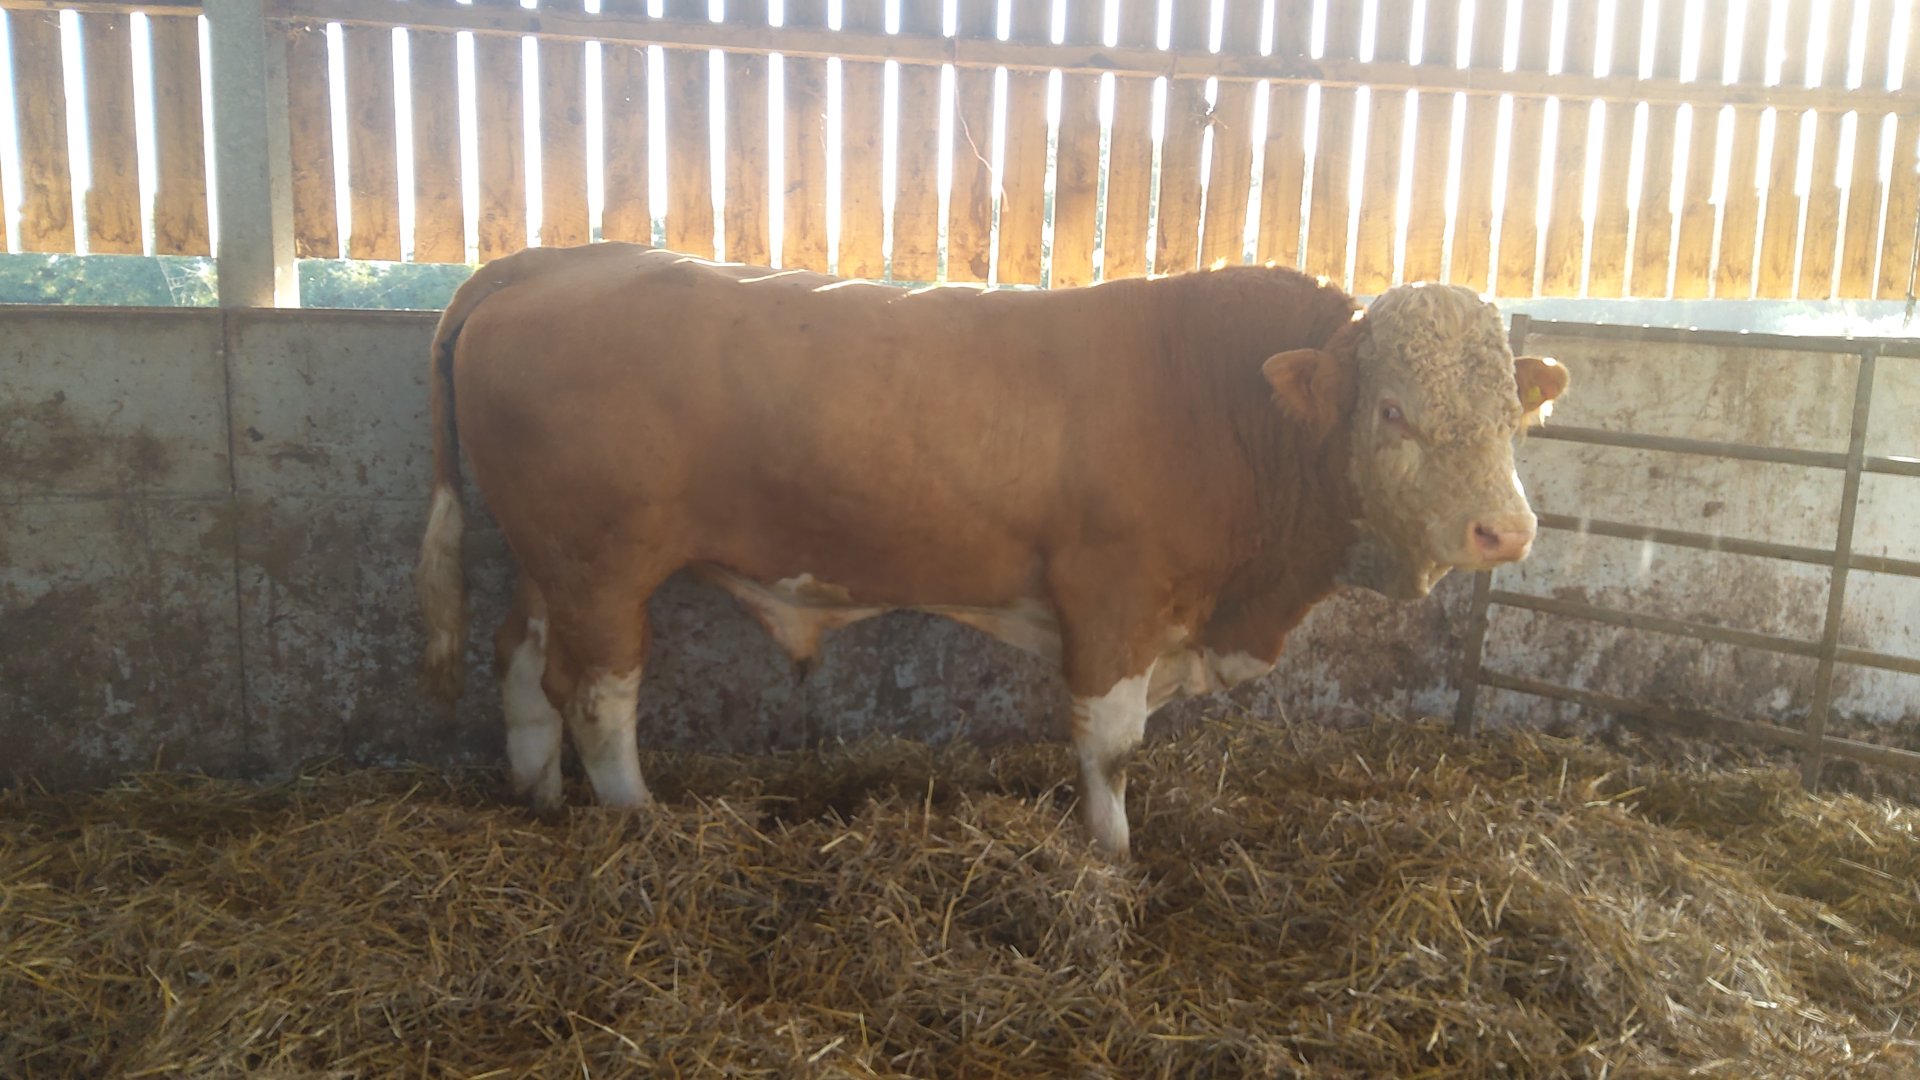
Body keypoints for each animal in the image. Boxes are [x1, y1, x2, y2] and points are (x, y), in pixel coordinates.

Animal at [416, 242, 1567, 859]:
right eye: (1393, 411)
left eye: (1514, 412)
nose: (1504, 532)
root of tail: (559, 260)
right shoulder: (1111, 596)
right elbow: (1110, 744)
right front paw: (1111, 855)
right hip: (604, 567)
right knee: (599, 697)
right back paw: (638, 818)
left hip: (546, 560)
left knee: (522, 662)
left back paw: (538, 799)